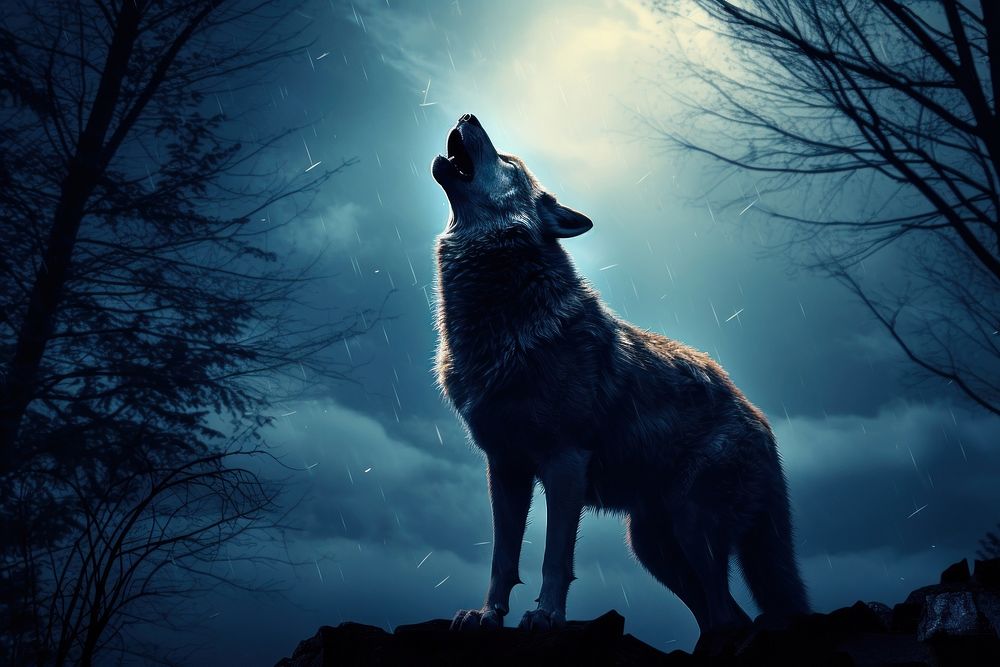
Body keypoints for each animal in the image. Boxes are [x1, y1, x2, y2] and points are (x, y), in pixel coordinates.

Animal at [431, 113, 809, 651]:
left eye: (508, 161)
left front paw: (545, 617)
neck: (502, 318)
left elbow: (553, 559)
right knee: (724, 614)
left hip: (693, 528)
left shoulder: (565, 463)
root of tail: (762, 421)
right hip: (652, 547)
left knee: (731, 614)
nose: (468, 116)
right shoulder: (504, 468)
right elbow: (502, 559)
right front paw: (486, 616)